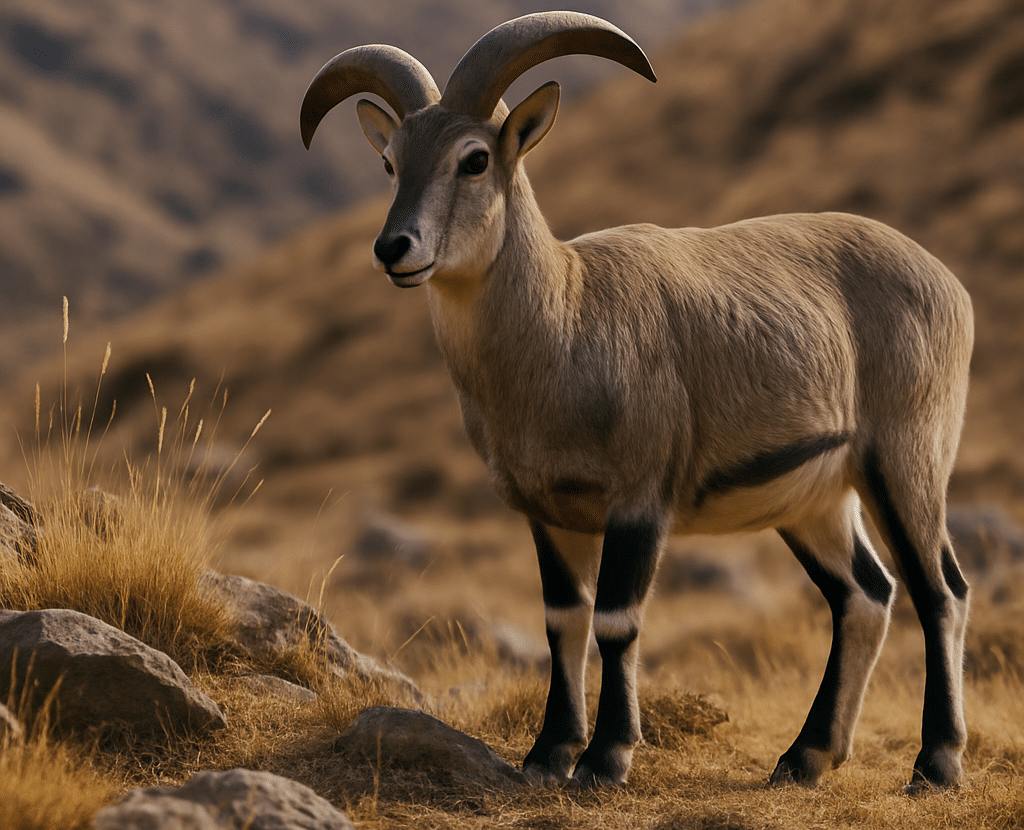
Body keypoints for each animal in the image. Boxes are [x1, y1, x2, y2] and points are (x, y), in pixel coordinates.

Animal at [300, 11, 974, 791]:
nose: (395, 247)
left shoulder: (640, 499)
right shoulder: (549, 513)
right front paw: (548, 753)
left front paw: (606, 758)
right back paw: (804, 757)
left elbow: (617, 620)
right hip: (813, 499)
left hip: (905, 460)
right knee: (865, 594)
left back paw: (936, 762)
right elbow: (563, 618)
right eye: (390, 162)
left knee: (940, 591)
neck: (567, 324)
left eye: (474, 159)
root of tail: (947, 283)